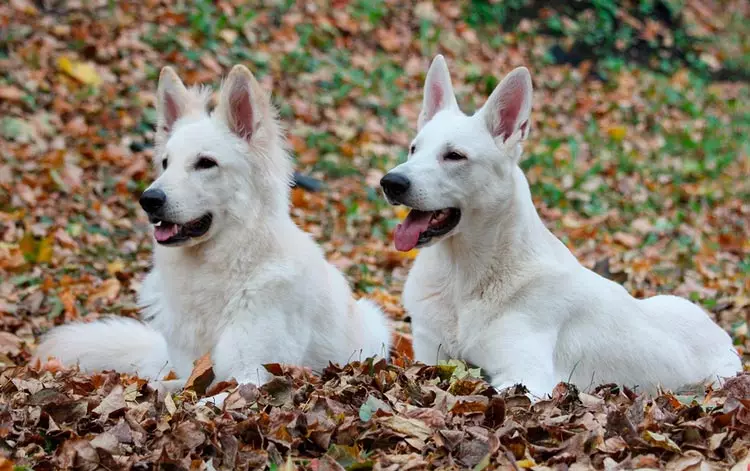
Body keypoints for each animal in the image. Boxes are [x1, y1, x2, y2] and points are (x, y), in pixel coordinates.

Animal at [33, 64, 394, 400]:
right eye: (165, 163)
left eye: (205, 163)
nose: (148, 200)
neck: (223, 268)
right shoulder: (189, 372)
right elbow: (160, 387)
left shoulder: (254, 376)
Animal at [384, 55, 744, 402]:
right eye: (414, 149)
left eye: (454, 156)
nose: (391, 182)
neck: (464, 277)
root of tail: (725, 338)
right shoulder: (428, 353)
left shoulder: (526, 377)